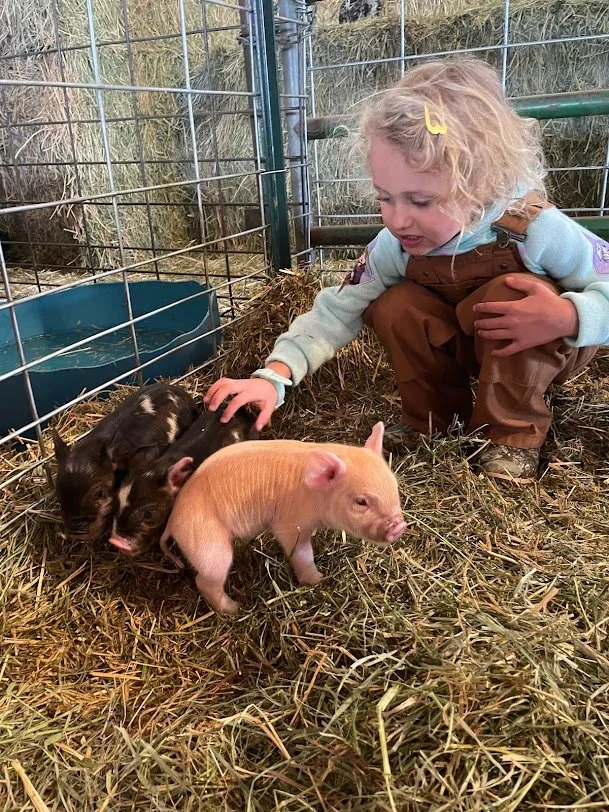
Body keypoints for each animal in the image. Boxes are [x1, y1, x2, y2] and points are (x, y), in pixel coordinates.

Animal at [160, 422, 406, 615]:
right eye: (361, 502)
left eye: (394, 485)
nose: (399, 525)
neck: (315, 495)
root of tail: (173, 520)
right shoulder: (289, 523)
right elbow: (302, 553)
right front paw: (318, 580)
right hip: (209, 547)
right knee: (205, 581)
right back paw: (235, 608)